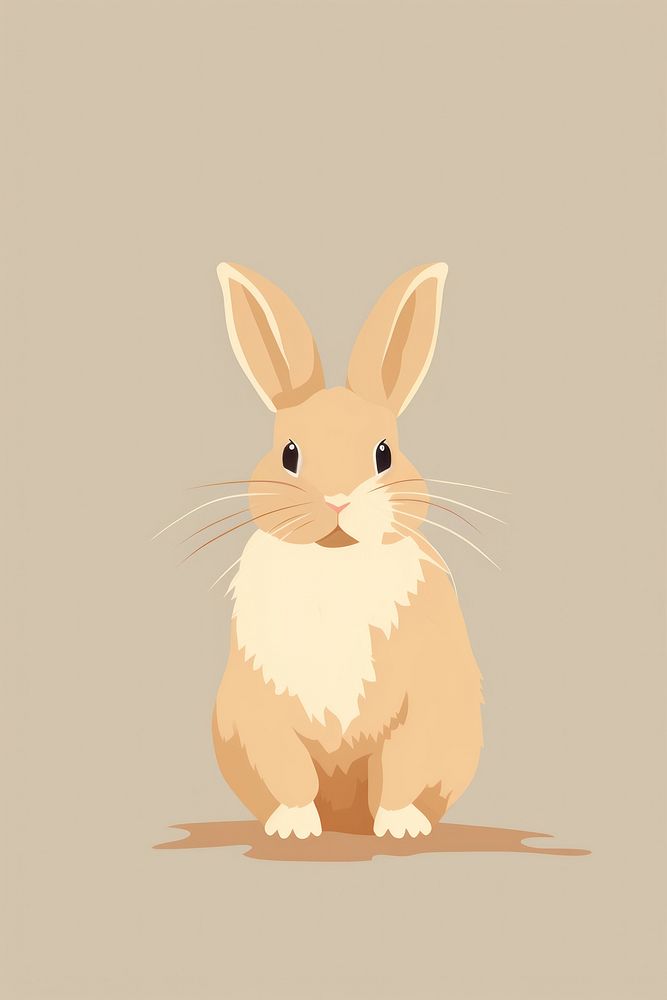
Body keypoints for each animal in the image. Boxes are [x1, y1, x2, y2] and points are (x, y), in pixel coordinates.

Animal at [211, 262, 483, 839]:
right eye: (289, 454)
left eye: (384, 454)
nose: (337, 500)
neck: (333, 565)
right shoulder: (259, 707)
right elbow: (289, 770)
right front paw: (294, 829)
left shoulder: (422, 705)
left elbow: (402, 765)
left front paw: (400, 827)